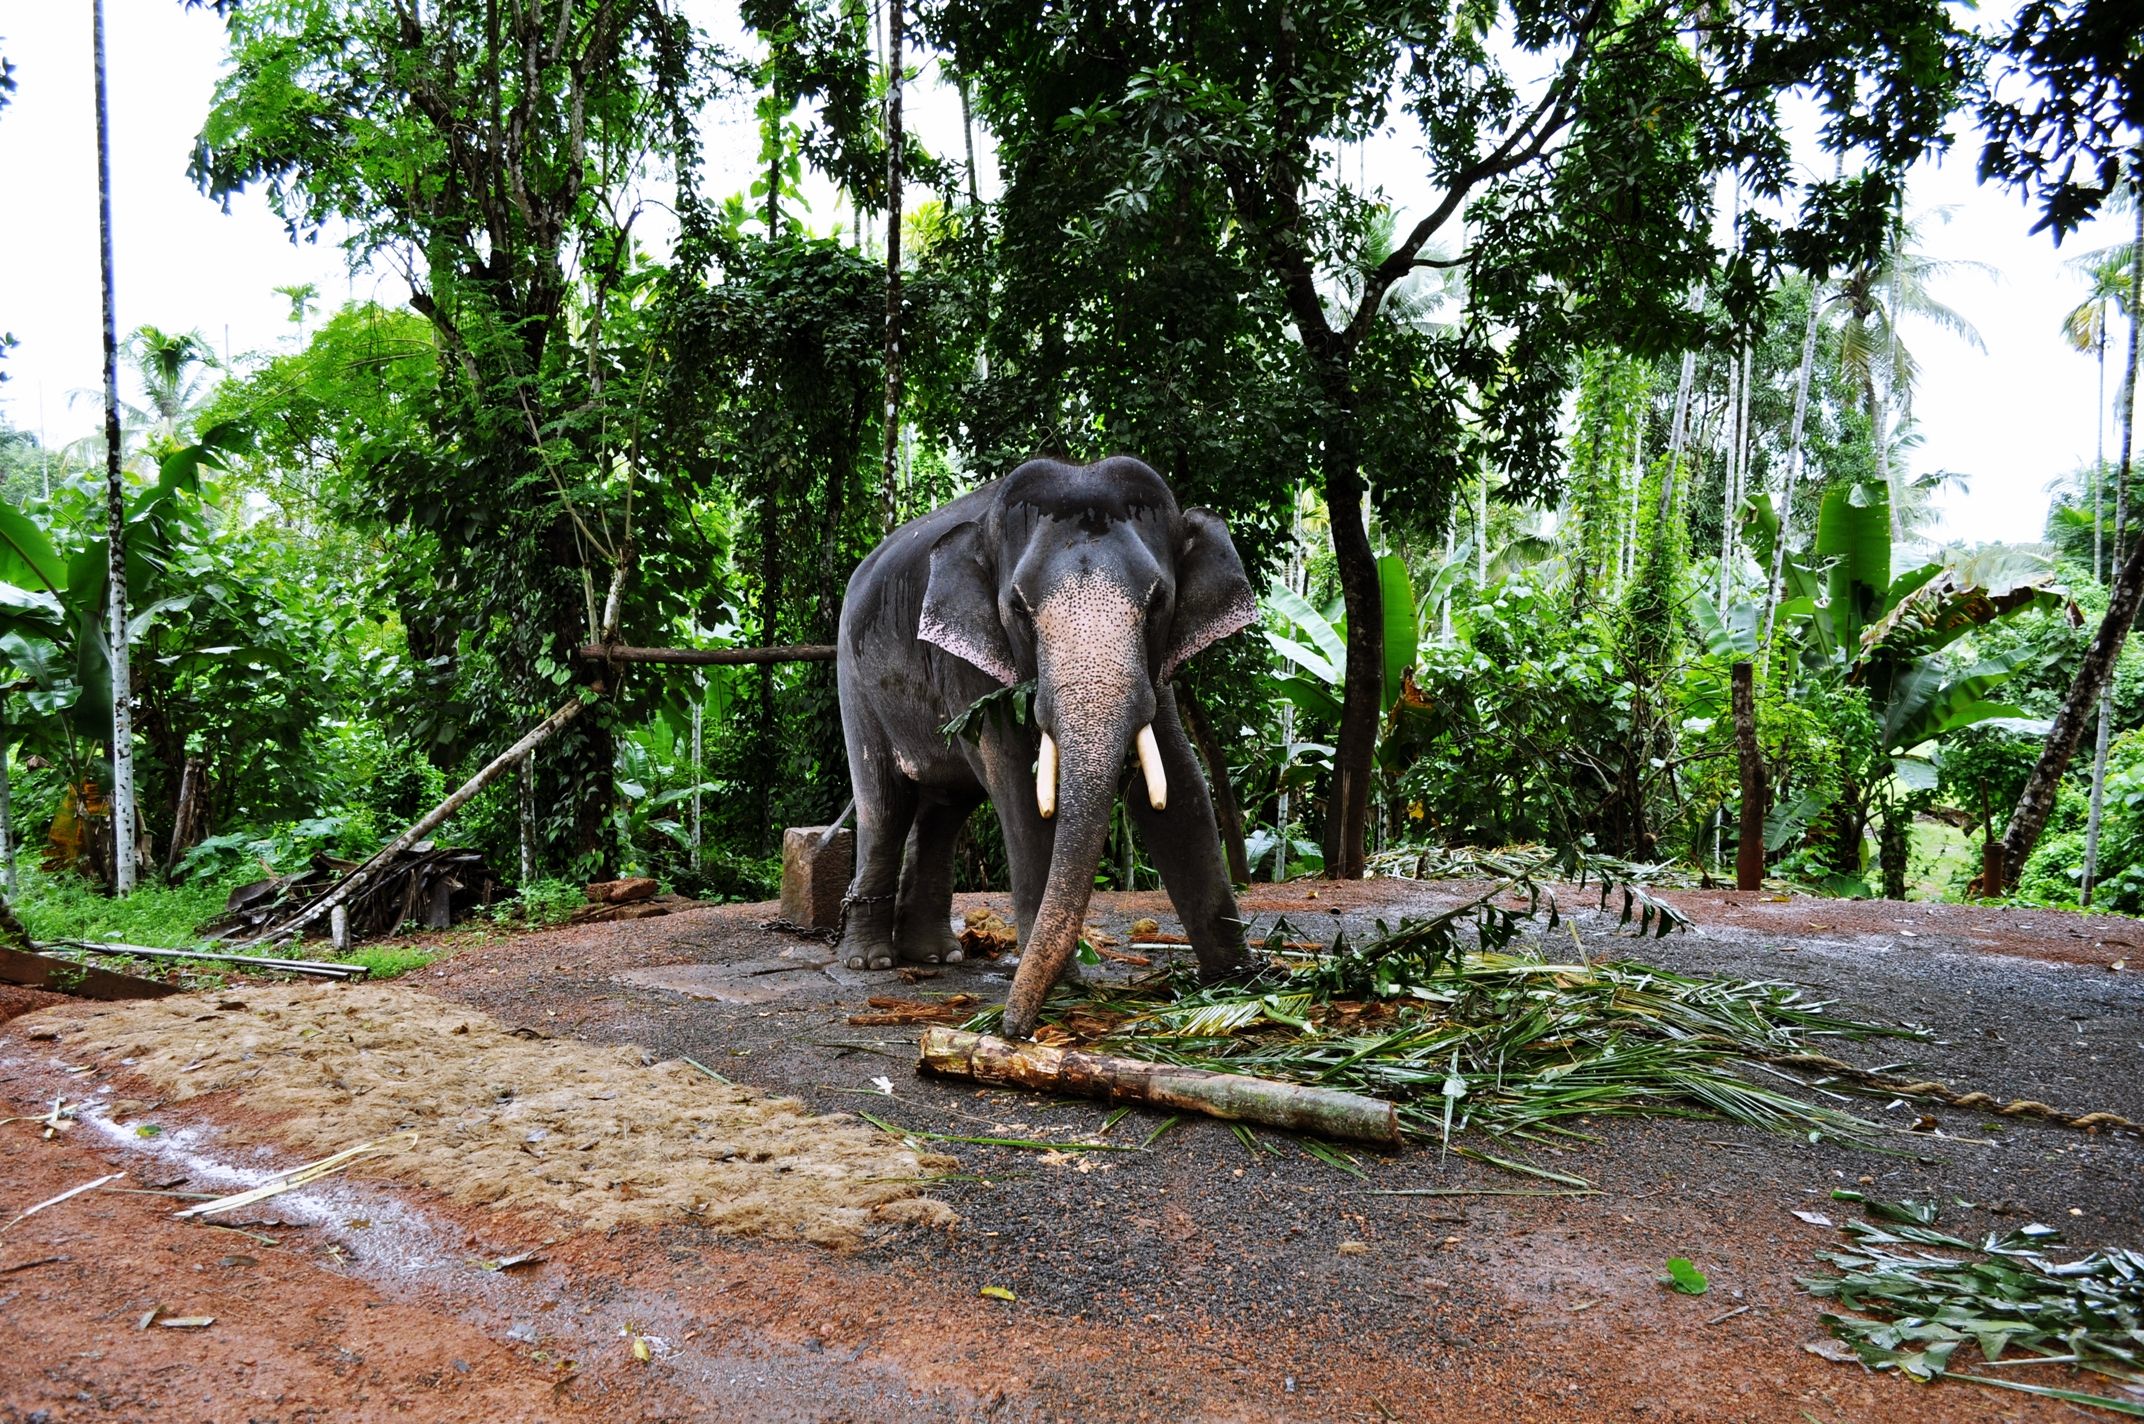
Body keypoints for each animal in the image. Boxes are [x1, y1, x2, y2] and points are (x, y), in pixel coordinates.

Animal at [836, 455, 1259, 1040]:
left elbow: (1180, 788)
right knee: (885, 804)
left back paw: (938, 956)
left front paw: (1242, 983)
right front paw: (1065, 992)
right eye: (1018, 607)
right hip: (854, 681)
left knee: (946, 807)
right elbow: (1021, 791)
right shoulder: (973, 665)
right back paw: (870, 961)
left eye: (1158, 603)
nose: (1013, 1029)